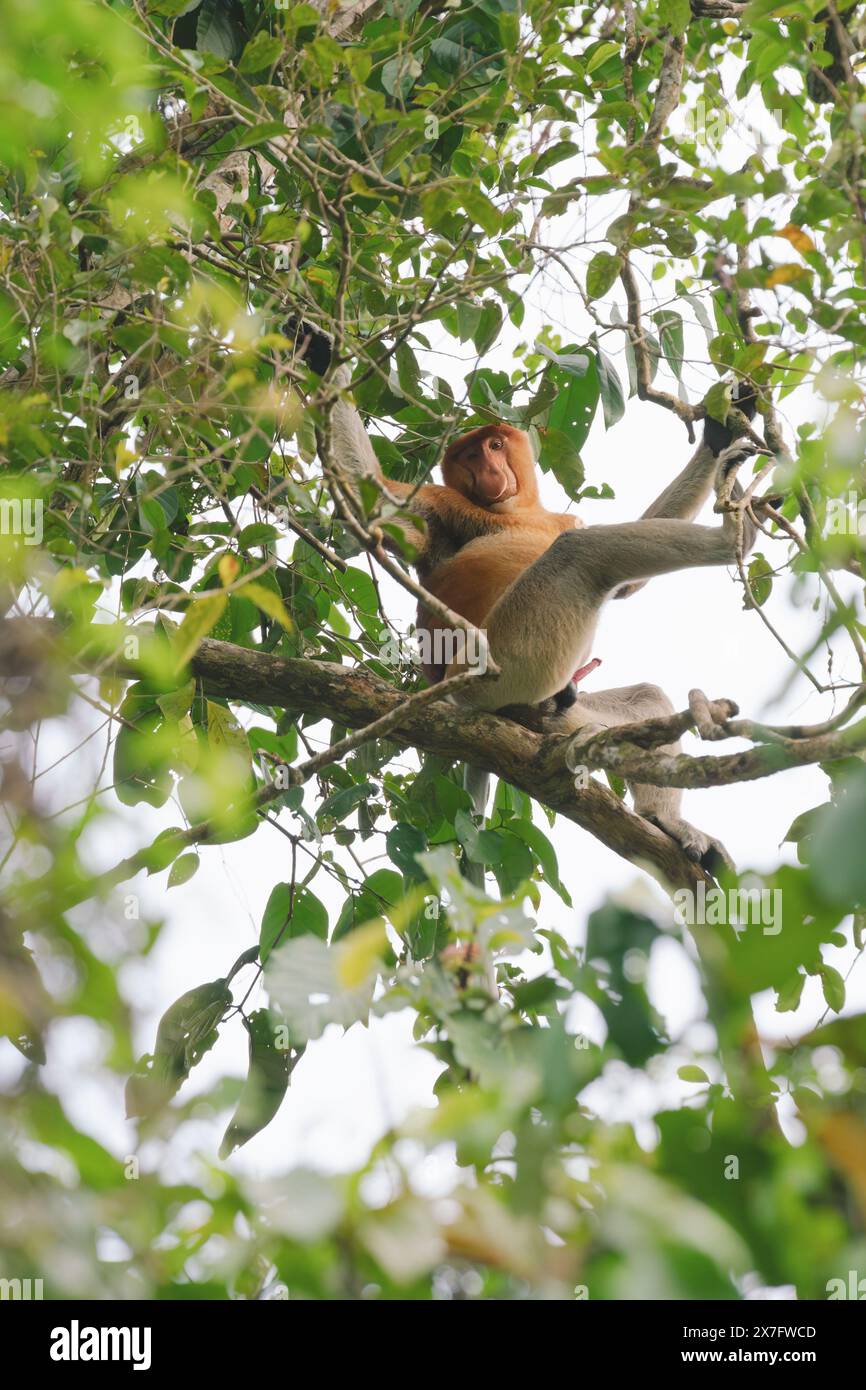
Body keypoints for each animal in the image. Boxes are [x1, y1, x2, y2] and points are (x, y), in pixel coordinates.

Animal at [291, 323, 758, 871]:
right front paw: (323, 358)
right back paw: (732, 538)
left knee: (646, 699)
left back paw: (665, 822)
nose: (491, 470)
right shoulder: (441, 504)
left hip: (557, 710)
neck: (516, 512)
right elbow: (370, 500)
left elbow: (627, 588)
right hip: (499, 666)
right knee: (580, 554)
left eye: (495, 444)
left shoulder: (559, 515)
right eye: (470, 456)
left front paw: (721, 428)